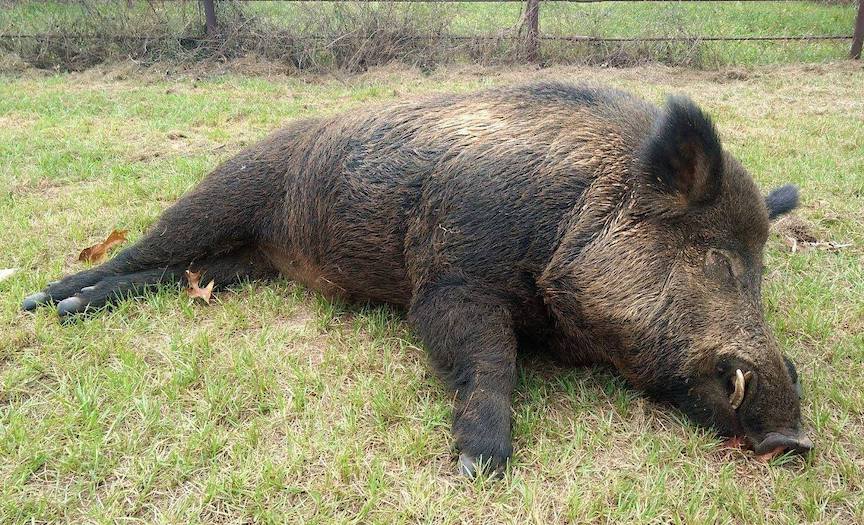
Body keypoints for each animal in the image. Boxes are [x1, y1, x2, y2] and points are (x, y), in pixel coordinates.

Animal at [22, 82, 811, 477]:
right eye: (719, 260)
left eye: (763, 272)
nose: (795, 439)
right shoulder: (451, 276)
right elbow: (486, 354)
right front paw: (479, 465)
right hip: (227, 190)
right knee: (142, 251)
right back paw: (46, 300)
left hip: (244, 261)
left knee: (180, 272)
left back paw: (71, 306)